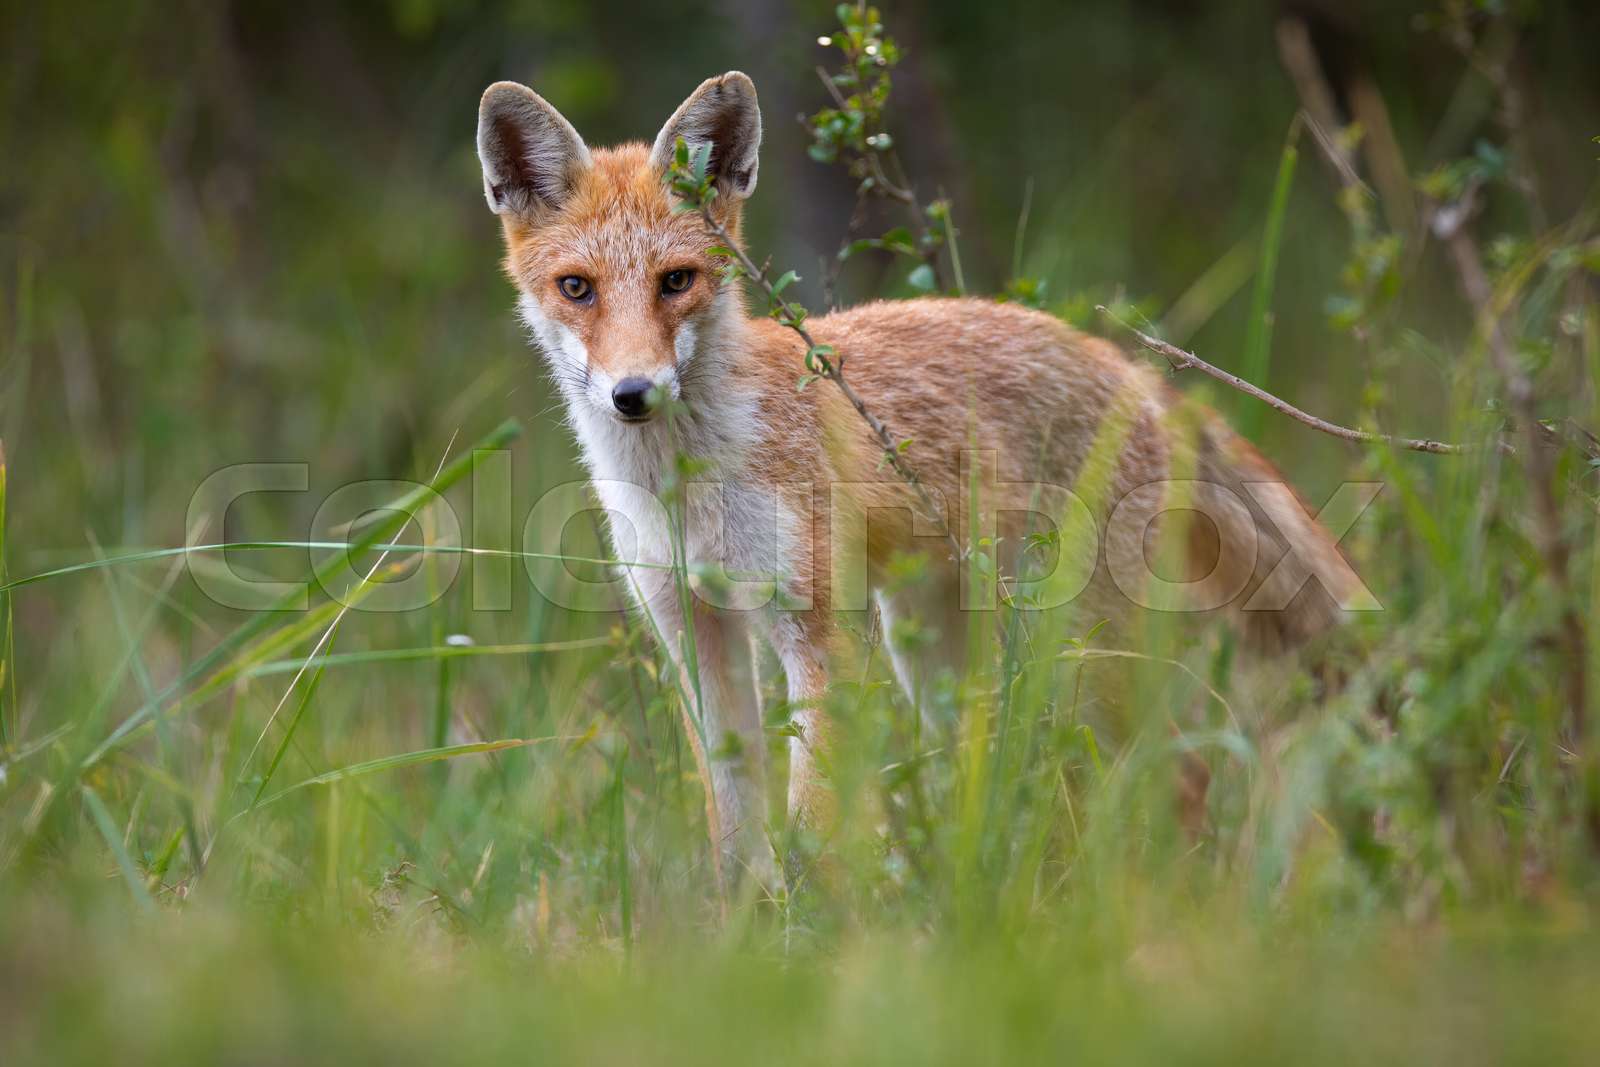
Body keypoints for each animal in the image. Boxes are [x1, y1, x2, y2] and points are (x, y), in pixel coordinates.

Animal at [475, 71, 1362, 886]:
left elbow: (815, 829)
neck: (687, 491)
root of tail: (1132, 369)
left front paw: (813, 935)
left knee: (1184, 774)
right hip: (937, 655)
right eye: (577, 288)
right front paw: (739, 933)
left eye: (676, 281)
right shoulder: (690, 626)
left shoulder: (819, 625)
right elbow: (735, 832)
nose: (633, 394)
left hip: (1079, 649)